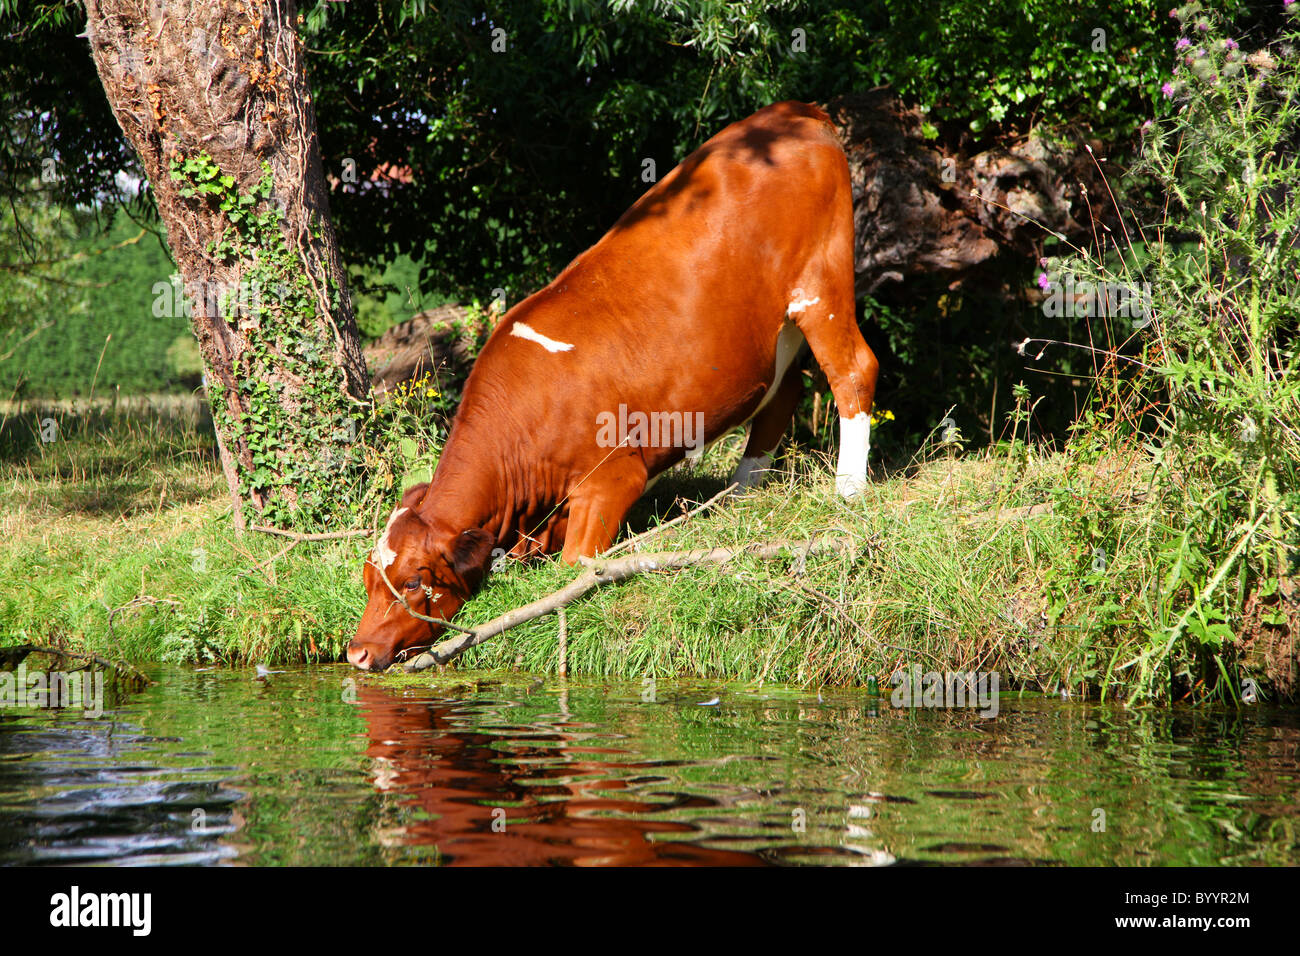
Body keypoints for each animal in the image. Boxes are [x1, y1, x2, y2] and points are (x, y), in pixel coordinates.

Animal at [349, 101, 879, 671]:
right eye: (368, 578)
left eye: (412, 581)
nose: (356, 653)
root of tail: (795, 109)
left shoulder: (612, 479)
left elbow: (574, 564)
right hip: (775, 332)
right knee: (779, 399)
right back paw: (737, 497)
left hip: (822, 284)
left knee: (853, 371)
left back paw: (847, 491)